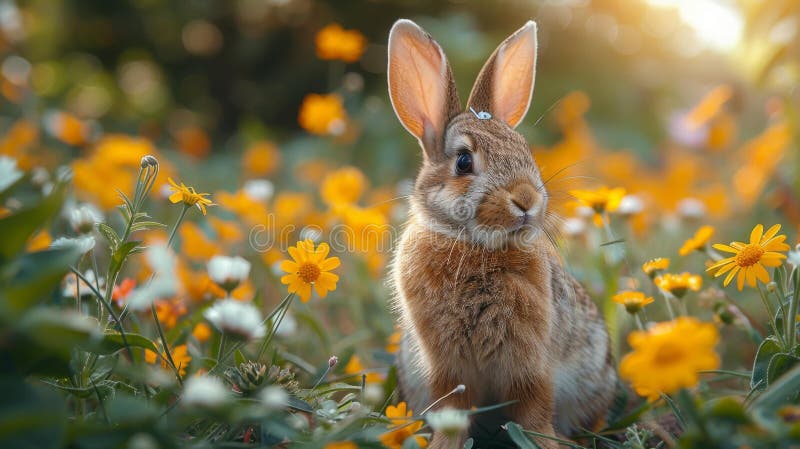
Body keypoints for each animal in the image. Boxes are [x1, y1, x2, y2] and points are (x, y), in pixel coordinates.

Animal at [387, 19, 617, 448]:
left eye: (525, 151)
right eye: (463, 161)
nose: (527, 200)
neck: (474, 245)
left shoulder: (528, 363)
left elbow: (533, 409)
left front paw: (545, 444)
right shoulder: (447, 369)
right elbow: (453, 411)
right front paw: (443, 444)